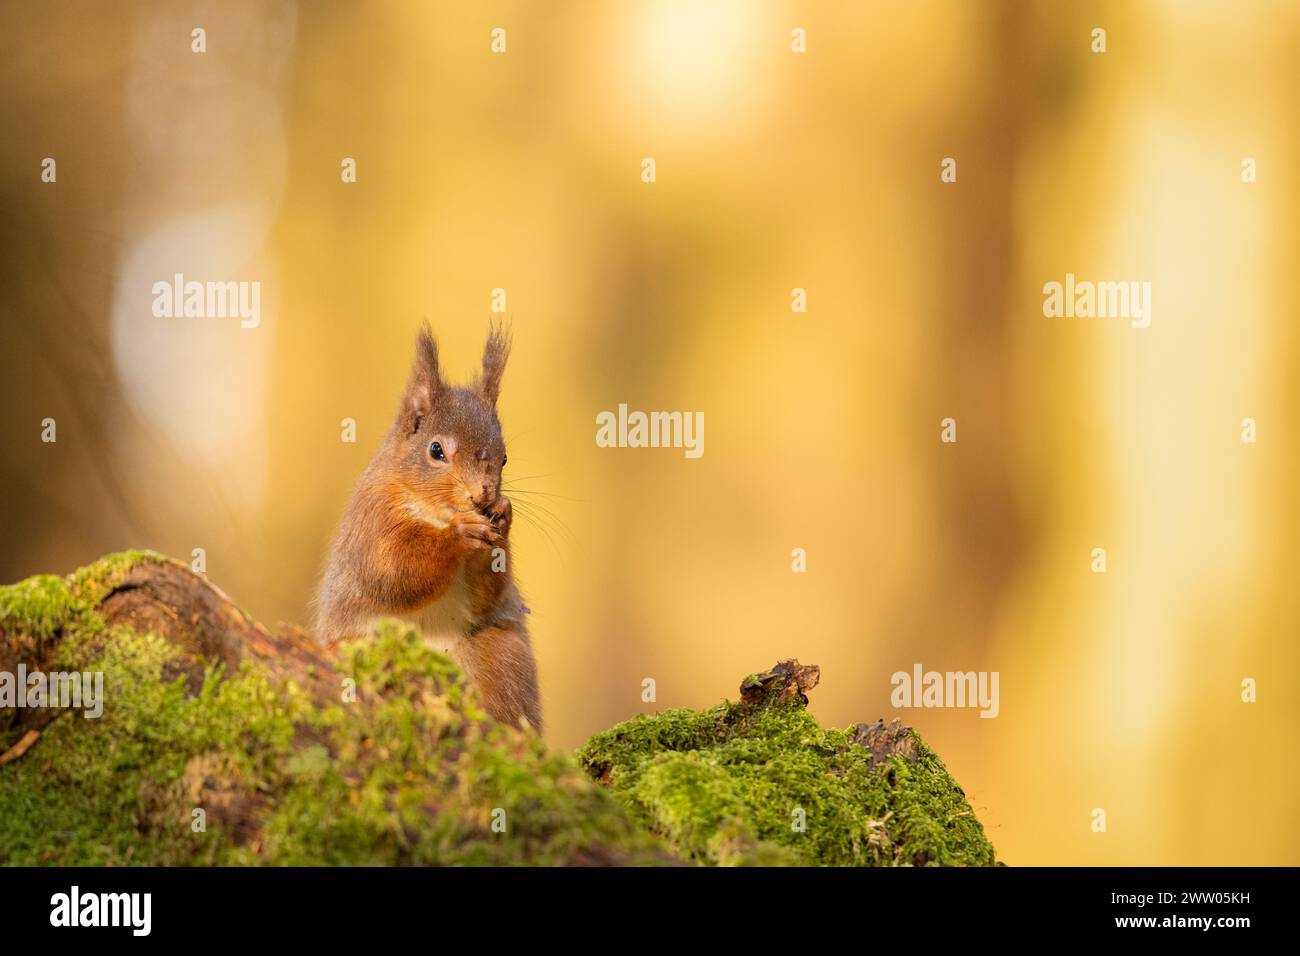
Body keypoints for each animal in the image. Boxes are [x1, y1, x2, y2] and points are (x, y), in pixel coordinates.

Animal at [316, 323, 541, 732]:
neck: (435, 513)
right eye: (436, 450)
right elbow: (392, 573)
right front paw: (459, 533)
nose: (484, 495)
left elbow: (486, 597)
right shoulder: (373, 521)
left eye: (504, 458)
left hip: (501, 657)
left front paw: (503, 518)